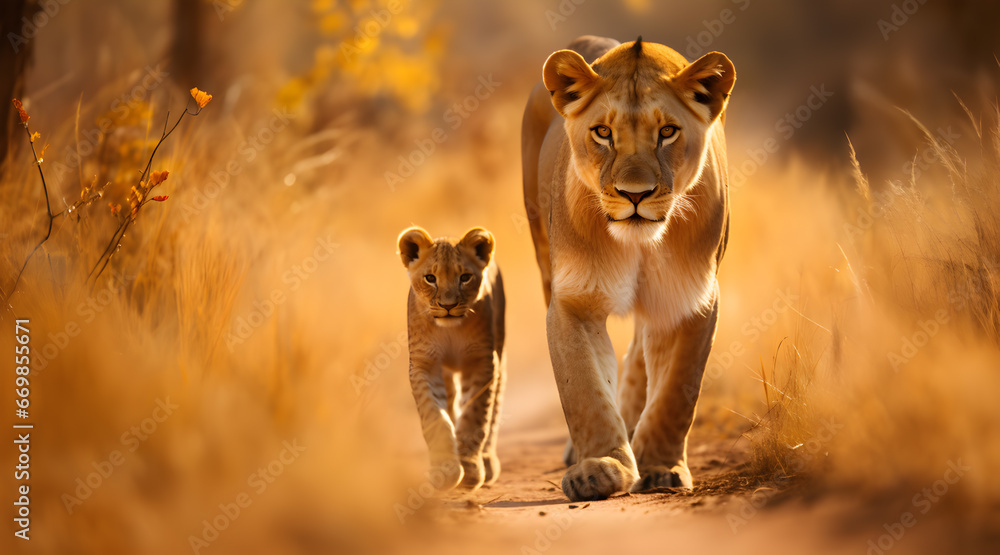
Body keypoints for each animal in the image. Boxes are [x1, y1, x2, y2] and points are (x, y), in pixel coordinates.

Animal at [397, 226, 506, 491]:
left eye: (465, 277)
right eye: (430, 278)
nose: (448, 306)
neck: (450, 331)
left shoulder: (482, 361)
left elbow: (476, 416)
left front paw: (471, 471)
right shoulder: (424, 364)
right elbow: (435, 418)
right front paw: (445, 471)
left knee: (495, 405)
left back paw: (487, 461)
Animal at [521, 36, 734, 501]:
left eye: (667, 132)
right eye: (603, 132)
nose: (634, 194)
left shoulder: (691, 299)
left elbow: (677, 390)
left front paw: (660, 466)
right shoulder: (573, 301)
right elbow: (584, 388)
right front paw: (600, 468)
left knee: (641, 349)